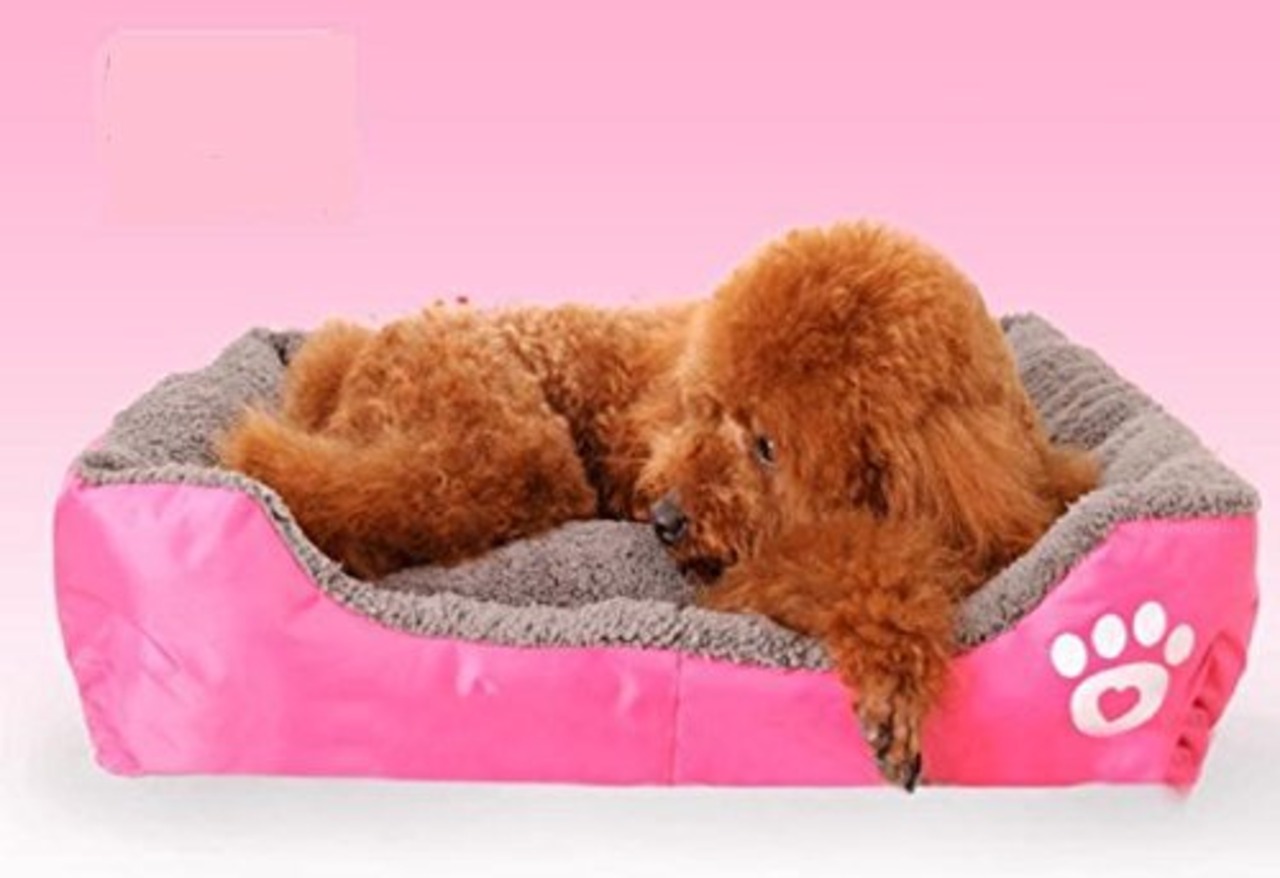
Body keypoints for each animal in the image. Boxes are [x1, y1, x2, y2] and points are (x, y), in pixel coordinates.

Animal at [219, 221, 1097, 788]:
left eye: (768, 446)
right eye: (705, 406)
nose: (665, 518)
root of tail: (358, 356)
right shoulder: (750, 567)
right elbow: (848, 560)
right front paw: (894, 673)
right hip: (505, 452)